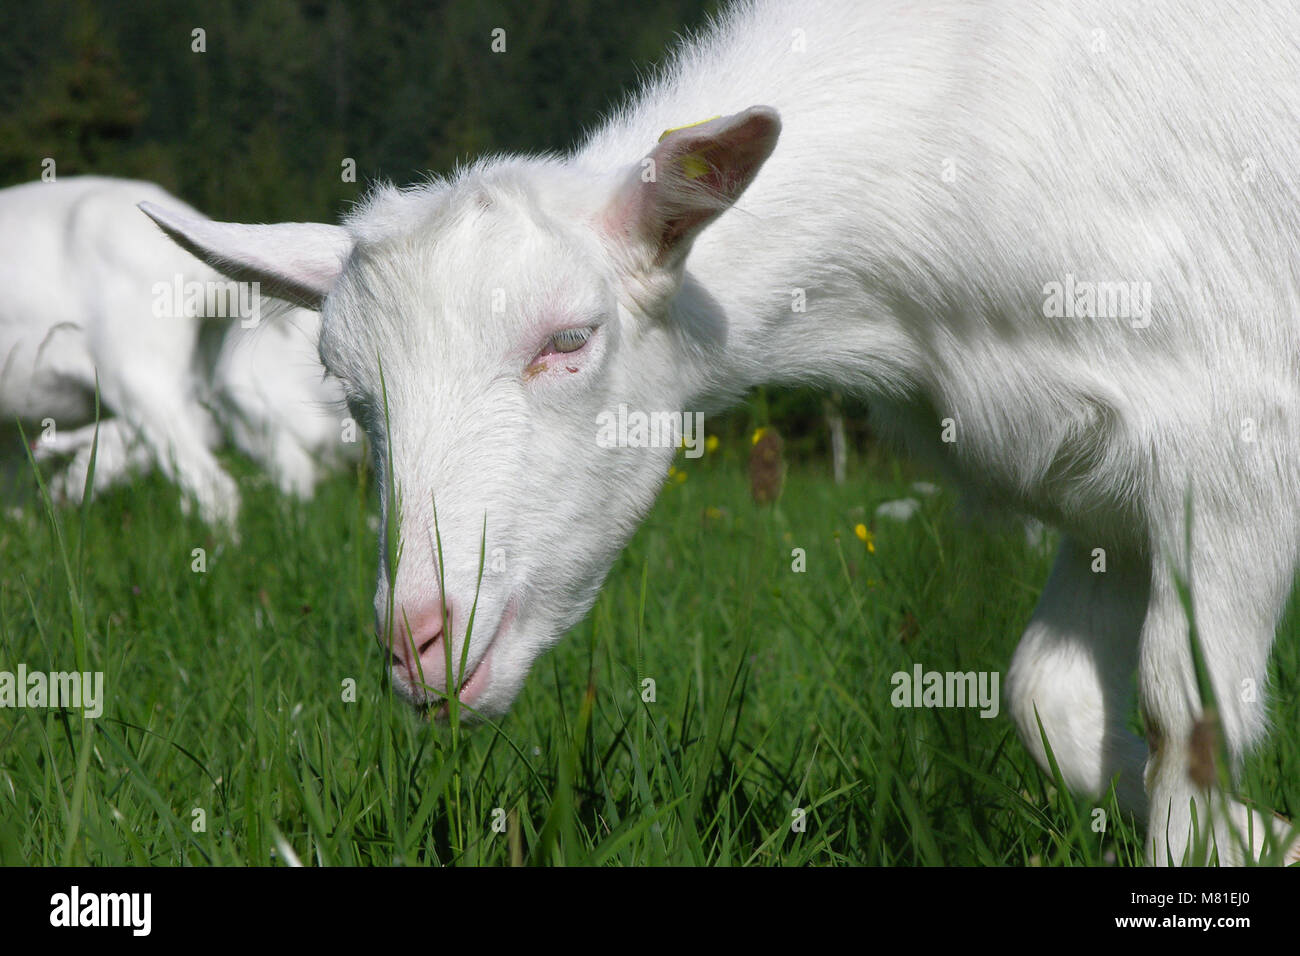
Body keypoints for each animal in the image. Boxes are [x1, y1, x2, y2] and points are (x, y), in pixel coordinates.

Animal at [143, 0, 1300, 865]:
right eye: (348, 391)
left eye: (570, 339)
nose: (421, 638)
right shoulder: (1095, 477)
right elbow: (1049, 700)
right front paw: (1268, 834)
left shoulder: (1234, 446)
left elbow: (1187, 712)